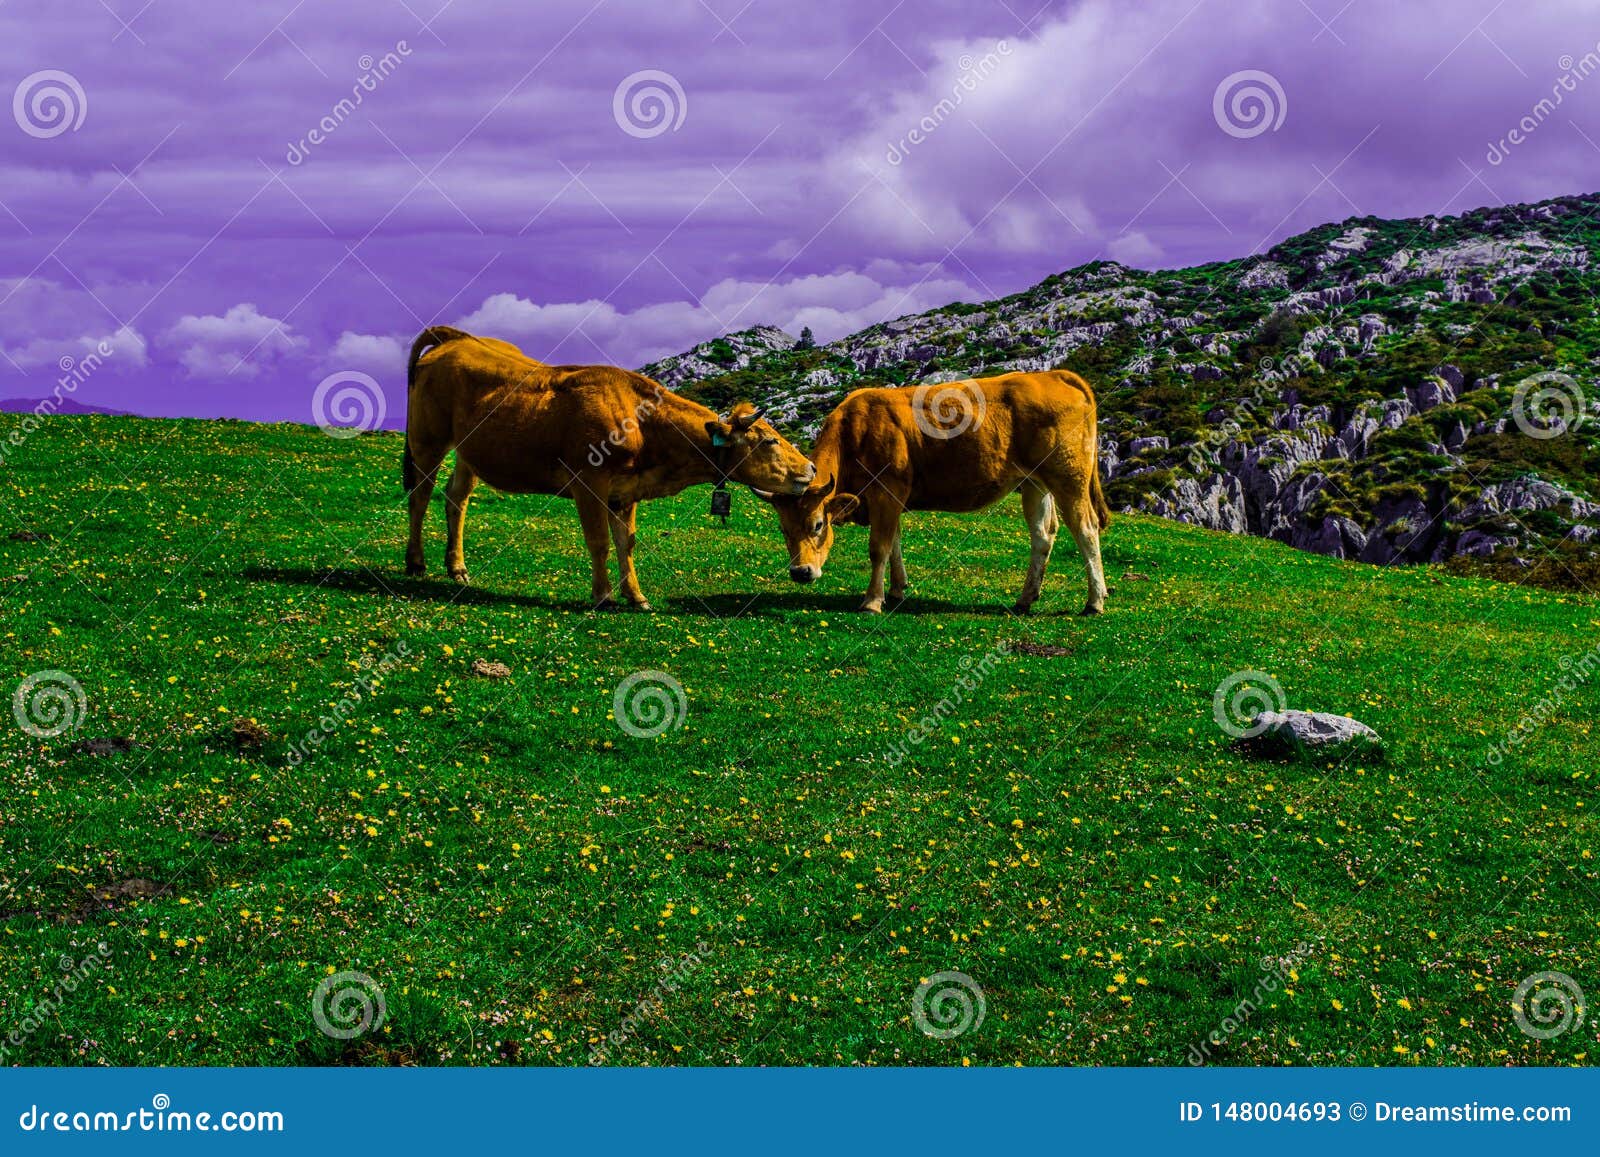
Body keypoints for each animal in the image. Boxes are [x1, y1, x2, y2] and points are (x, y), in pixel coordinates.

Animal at [402, 325, 816, 610]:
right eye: (769, 441)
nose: (811, 468)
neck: (643, 424)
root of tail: (458, 339)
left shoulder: (625, 490)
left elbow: (625, 543)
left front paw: (636, 596)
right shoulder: (588, 481)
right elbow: (599, 541)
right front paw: (602, 595)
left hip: (469, 451)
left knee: (456, 498)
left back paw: (457, 568)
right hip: (427, 440)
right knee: (420, 496)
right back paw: (416, 563)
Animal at [758, 371, 1110, 615]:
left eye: (817, 525)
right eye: (783, 529)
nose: (800, 573)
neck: (856, 431)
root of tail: (1052, 375)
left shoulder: (886, 492)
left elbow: (879, 547)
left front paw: (872, 601)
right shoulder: (889, 500)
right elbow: (894, 544)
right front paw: (897, 591)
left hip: (1069, 479)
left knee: (1086, 530)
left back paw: (1094, 602)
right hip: (1035, 484)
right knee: (1043, 534)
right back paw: (1025, 599)